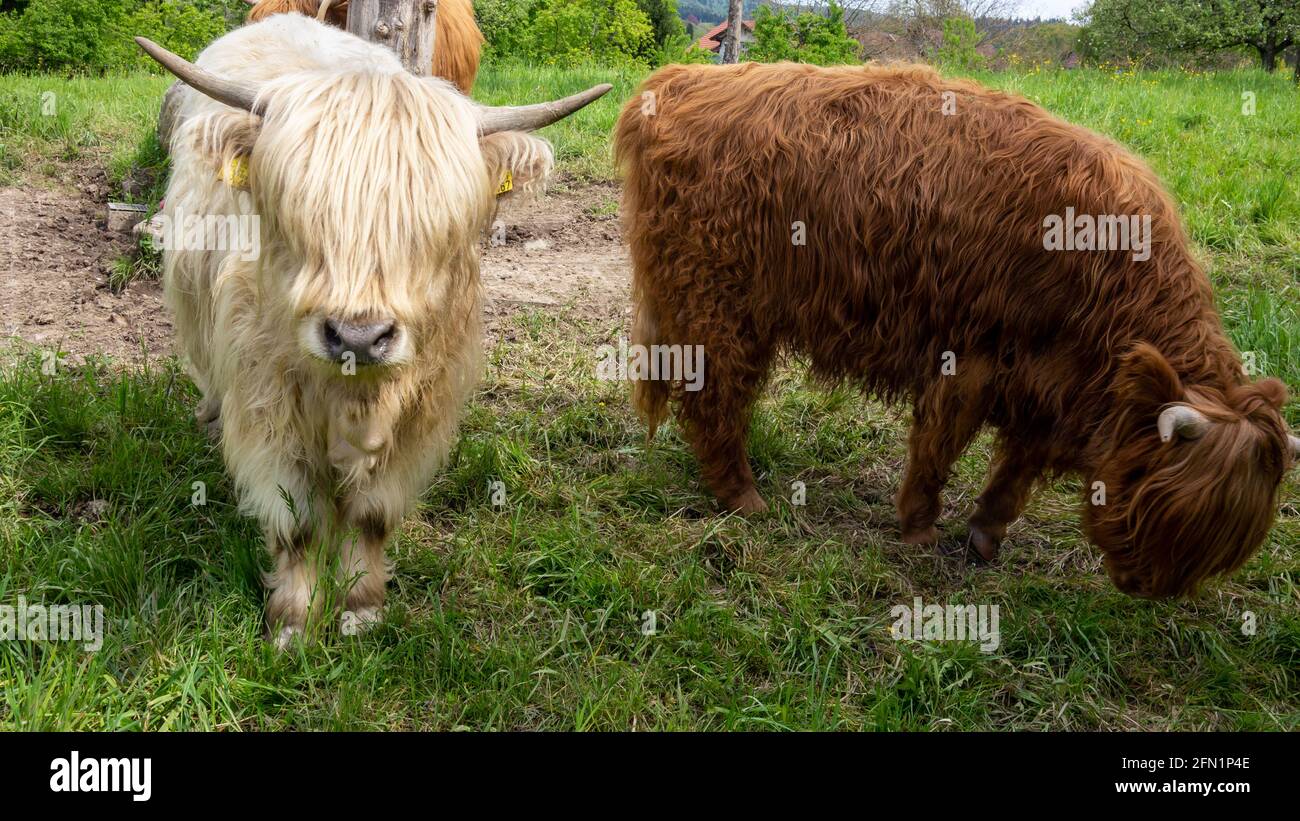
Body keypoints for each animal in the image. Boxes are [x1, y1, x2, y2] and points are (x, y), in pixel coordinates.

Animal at [141, 14, 608, 646]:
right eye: (297, 215)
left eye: (436, 226)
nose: (357, 338)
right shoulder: (268, 404)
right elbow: (297, 519)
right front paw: (295, 619)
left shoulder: (421, 410)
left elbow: (371, 513)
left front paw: (361, 607)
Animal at [614, 61, 1299, 599]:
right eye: (1164, 500)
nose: (1145, 586)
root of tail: (678, 79)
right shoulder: (972, 357)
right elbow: (938, 448)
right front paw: (919, 529)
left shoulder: (1048, 388)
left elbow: (1014, 474)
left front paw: (984, 537)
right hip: (717, 304)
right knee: (715, 397)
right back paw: (743, 498)